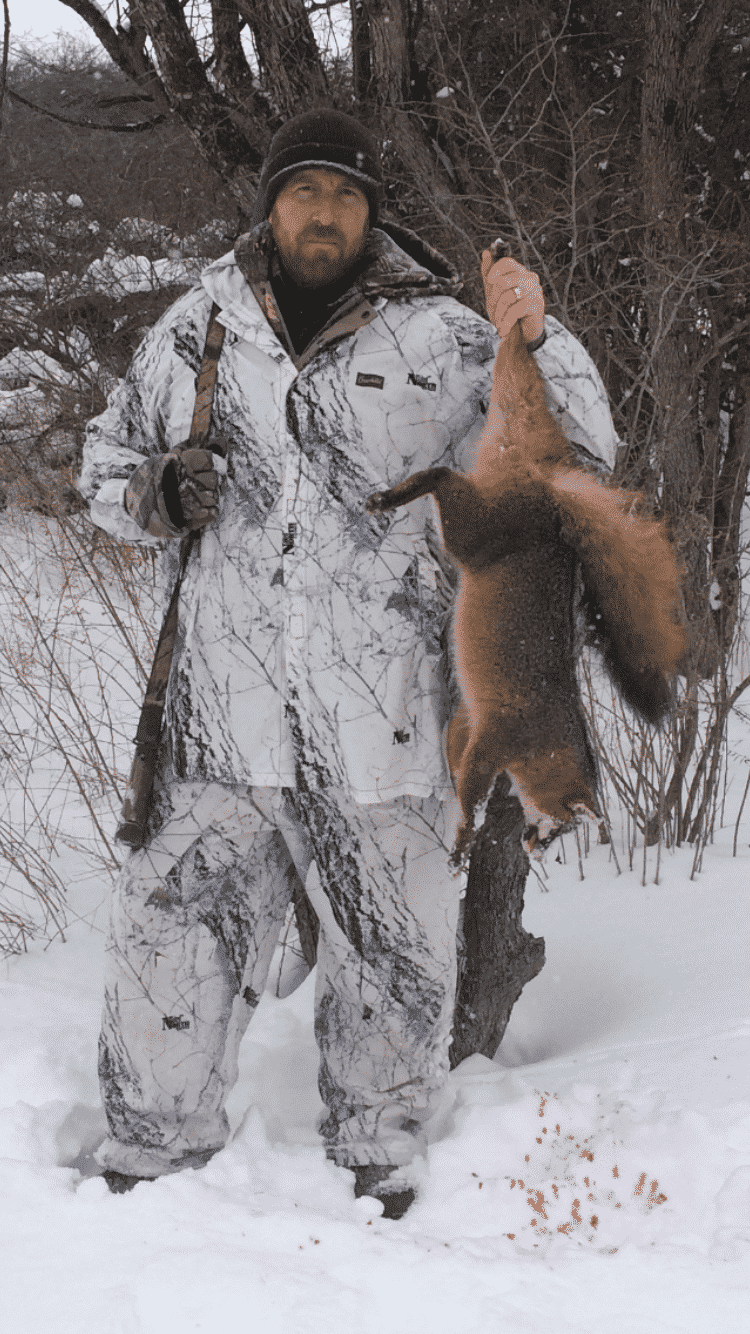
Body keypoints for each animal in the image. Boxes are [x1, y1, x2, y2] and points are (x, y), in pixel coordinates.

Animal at [366, 255, 685, 861]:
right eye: (563, 823)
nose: (538, 846)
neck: (549, 746)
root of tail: (549, 487)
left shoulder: (466, 726)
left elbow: (455, 766)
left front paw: (461, 834)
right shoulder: (494, 739)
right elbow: (470, 798)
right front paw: (463, 841)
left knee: (509, 358)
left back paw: (499, 279)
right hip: (474, 530)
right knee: (441, 475)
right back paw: (394, 495)